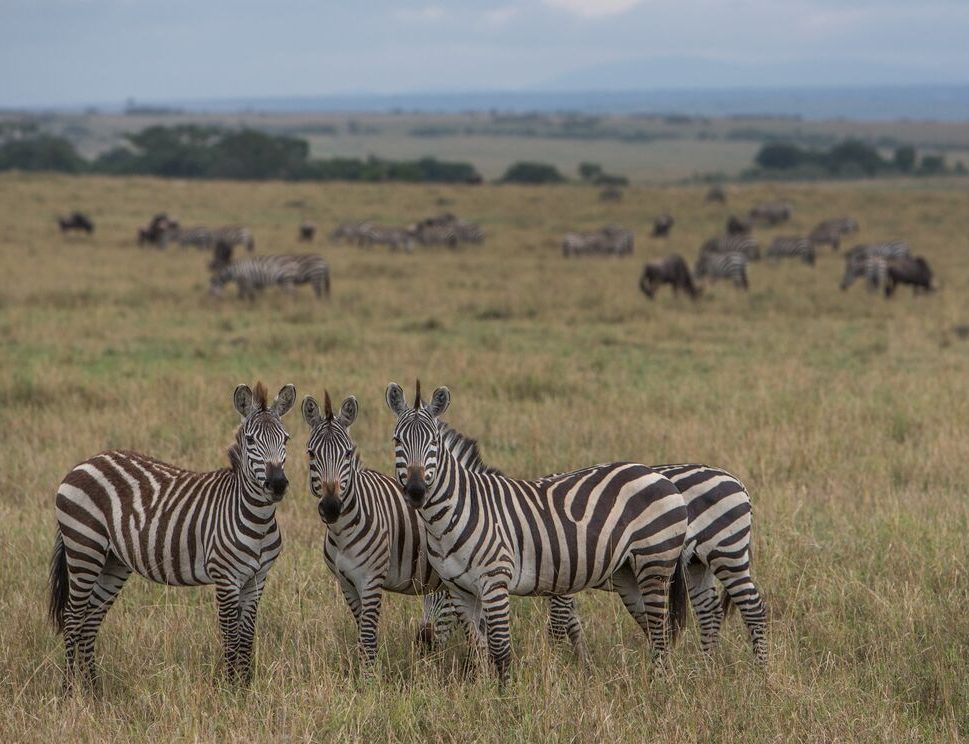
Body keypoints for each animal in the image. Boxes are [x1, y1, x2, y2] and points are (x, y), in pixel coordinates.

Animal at [48, 382, 296, 691]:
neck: (257, 520)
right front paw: (230, 690)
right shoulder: (226, 578)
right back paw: (69, 690)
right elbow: (231, 637)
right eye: (250, 440)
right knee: (72, 617)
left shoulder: (257, 578)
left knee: (89, 620)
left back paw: (94, 689)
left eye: (286, 439)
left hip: (112, 561)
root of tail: (85, 462)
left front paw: (246, 687)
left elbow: (247, 636)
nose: (277, 485)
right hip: (84, 548)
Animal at [386, 381, 689, 680]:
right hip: (628, 574)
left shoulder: (498, 581)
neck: (462, 510)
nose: (415, 491)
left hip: (655, 563)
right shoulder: (462, 588)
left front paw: (511, 691)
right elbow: (479, 647)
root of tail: (654, 474)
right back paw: (660, 679)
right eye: (396, 441)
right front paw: (481, 688)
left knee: (660, 629)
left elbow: (502, 648)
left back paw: (660, 685)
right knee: (655, 628)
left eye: (434, 442)